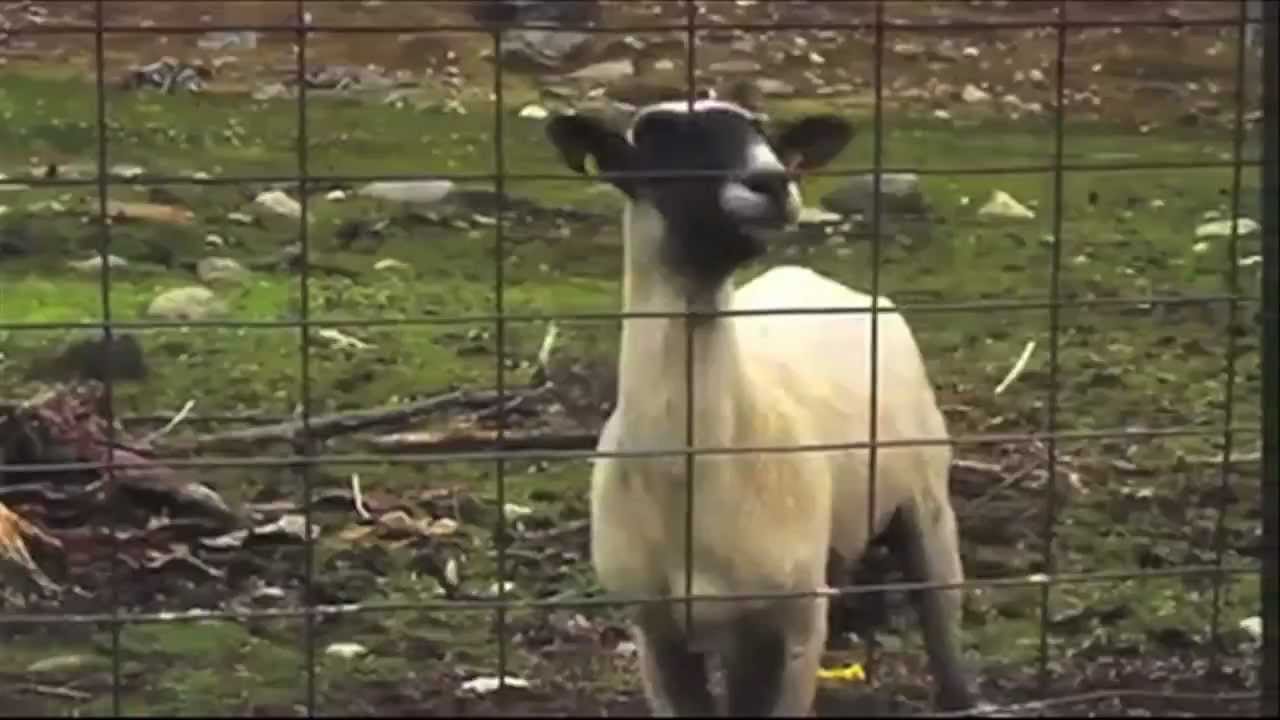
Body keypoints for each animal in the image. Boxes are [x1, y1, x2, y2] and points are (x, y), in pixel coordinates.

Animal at [546, 99, 975, 716]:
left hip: (925, 496)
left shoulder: (795, 621)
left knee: (942, 618)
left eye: (765, 135)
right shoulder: (656, 627)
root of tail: (815, 279)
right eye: (655, 141)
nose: (773, 182)